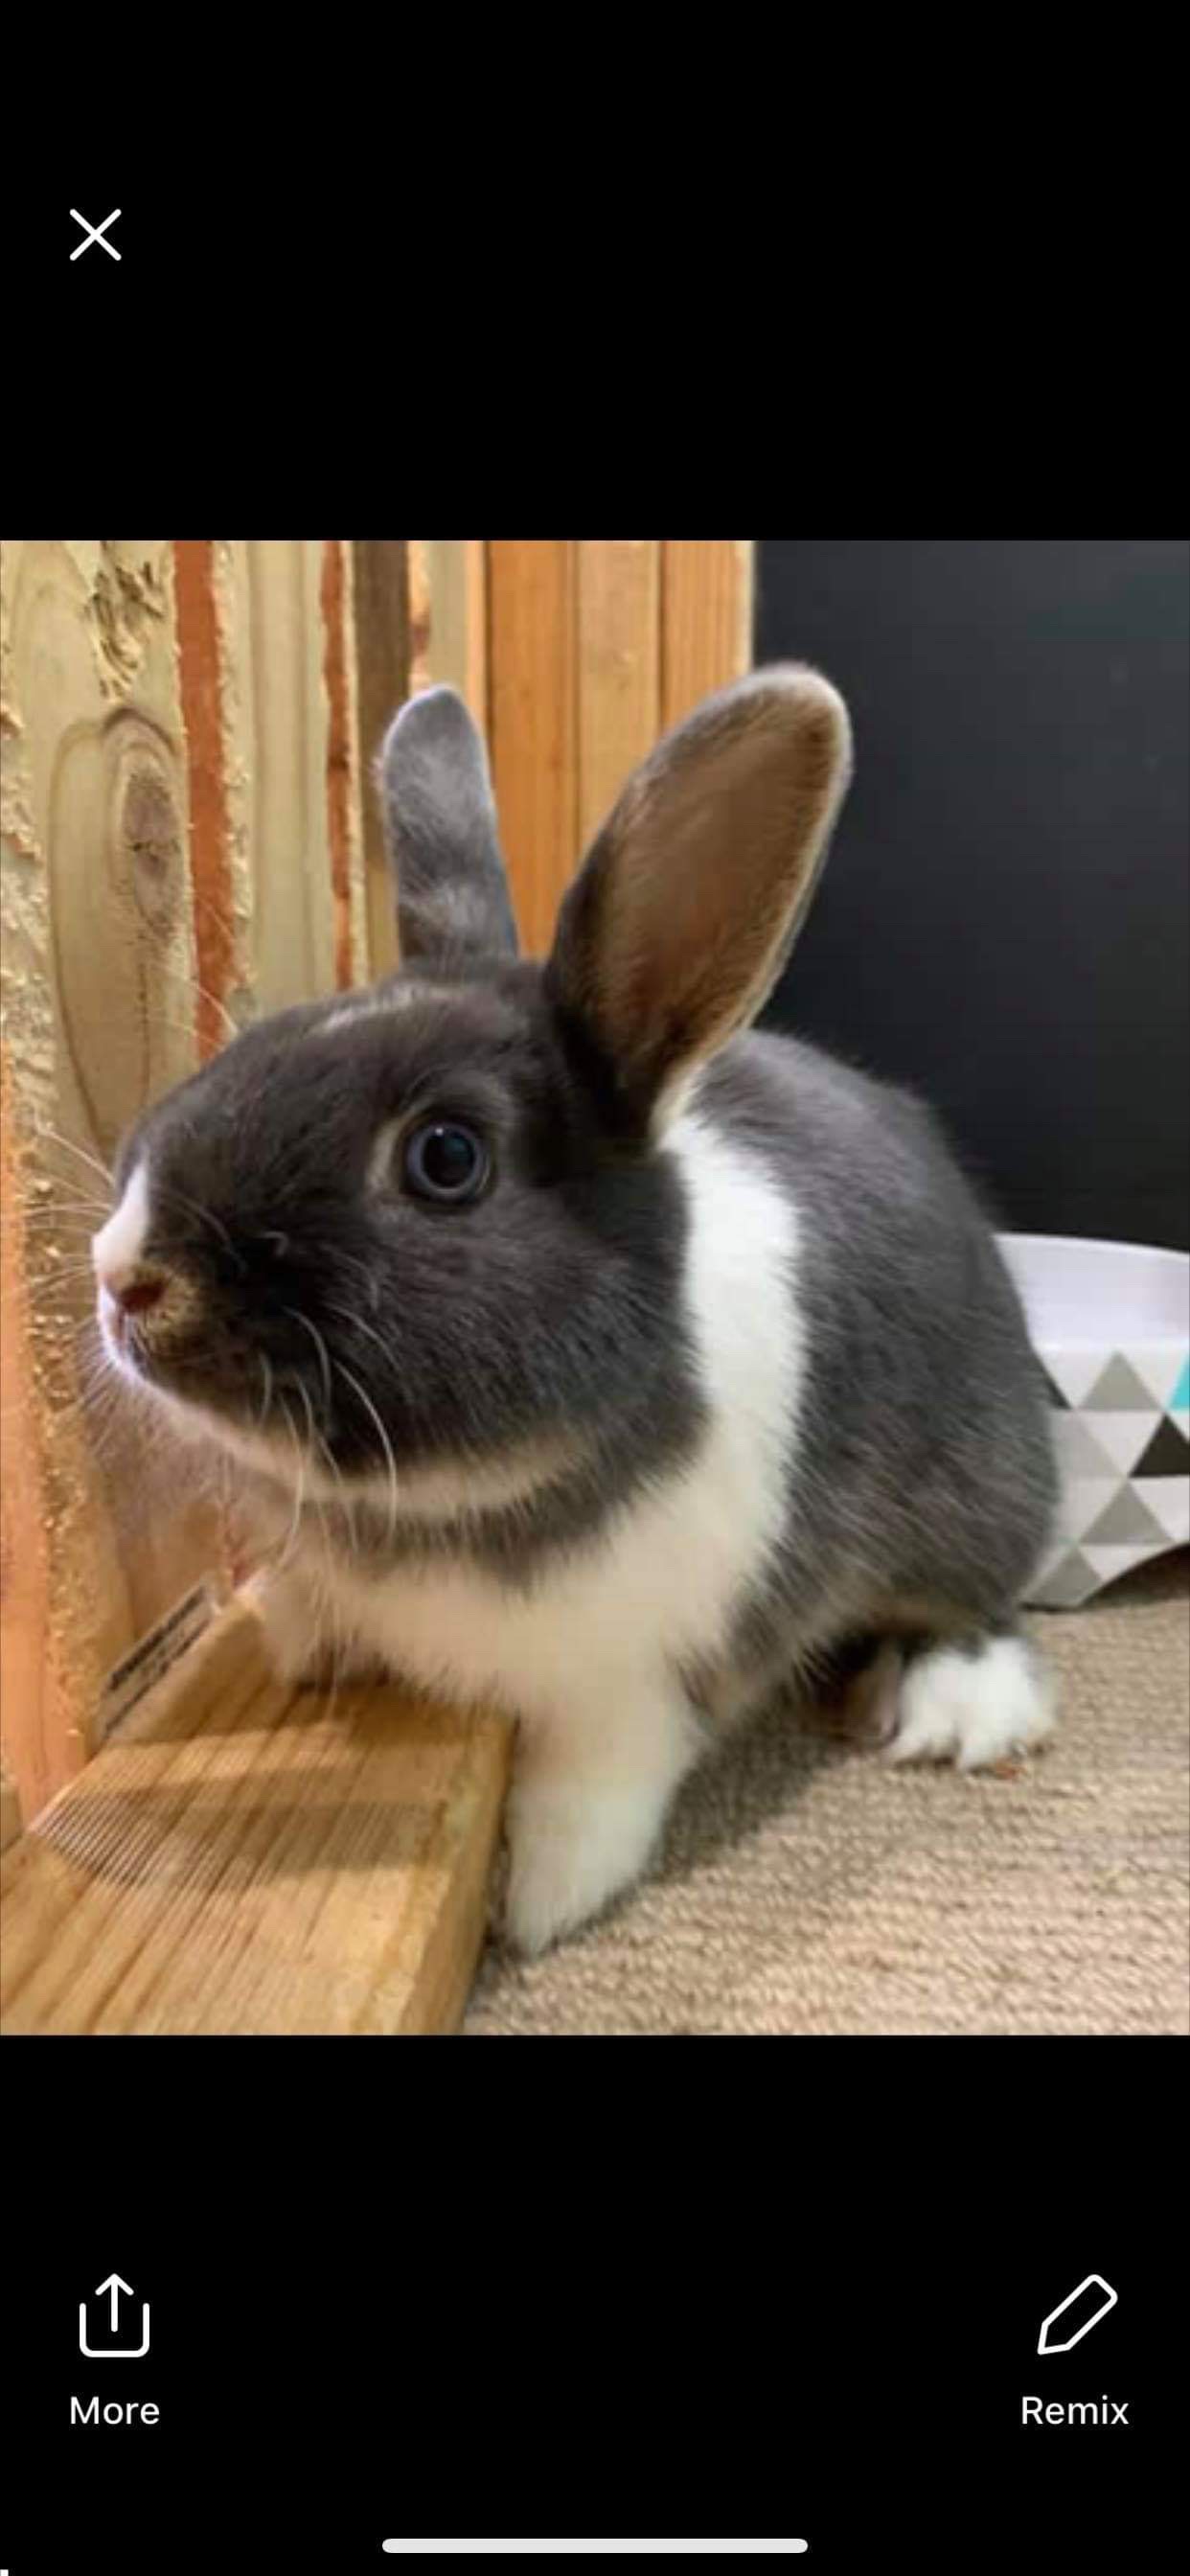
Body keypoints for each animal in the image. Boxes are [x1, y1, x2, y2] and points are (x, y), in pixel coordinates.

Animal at [92, 667, 1058, 1955]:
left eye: (447, 1159)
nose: (127, 1276)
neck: (442, 1512)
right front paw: (304, 1652)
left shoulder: (630, 1683)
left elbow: (591, 1794)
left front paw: (532, 1906)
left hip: (981, 1497)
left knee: (981, 1601)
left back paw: (954, 1707)